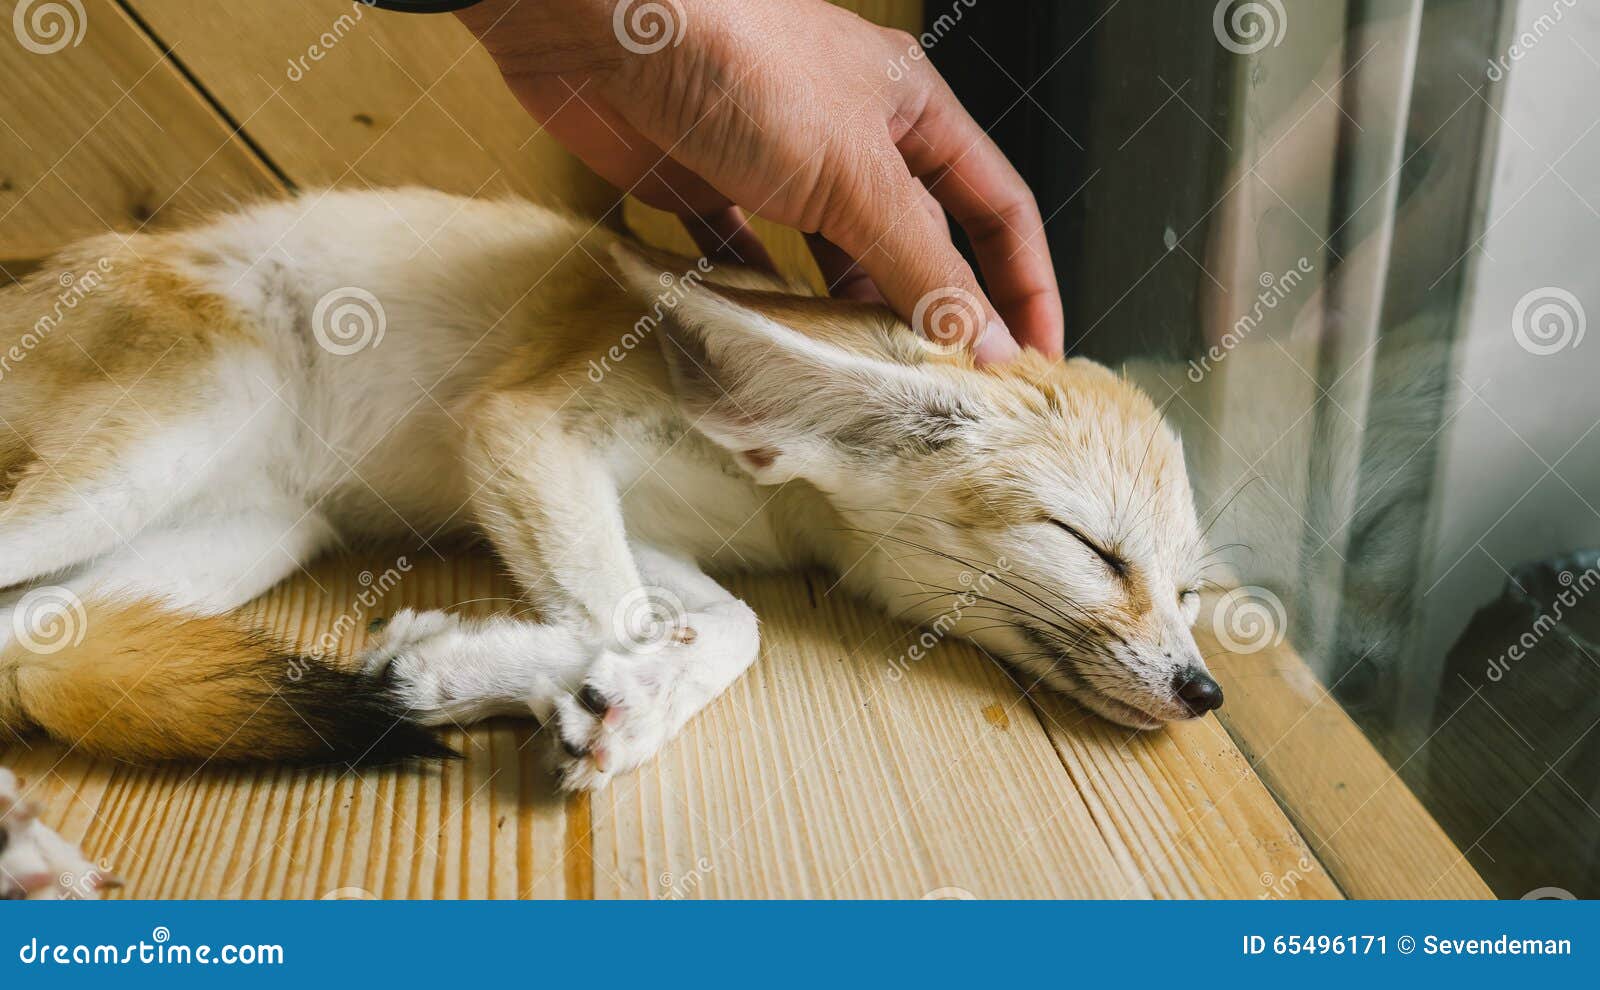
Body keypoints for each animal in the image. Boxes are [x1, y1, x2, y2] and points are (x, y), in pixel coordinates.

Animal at [0, 188, 1217, 894]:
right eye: (1093, 549)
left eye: (1189, 593)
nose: (1204, 692)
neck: (779, 493)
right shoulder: (526, 433)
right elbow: (608, 613)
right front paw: (585, 695)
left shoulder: (660, 526)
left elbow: (730, 627)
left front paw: (474, 671)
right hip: (167, 443)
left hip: (241, 535)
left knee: (22, 642)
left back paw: (26, 844)